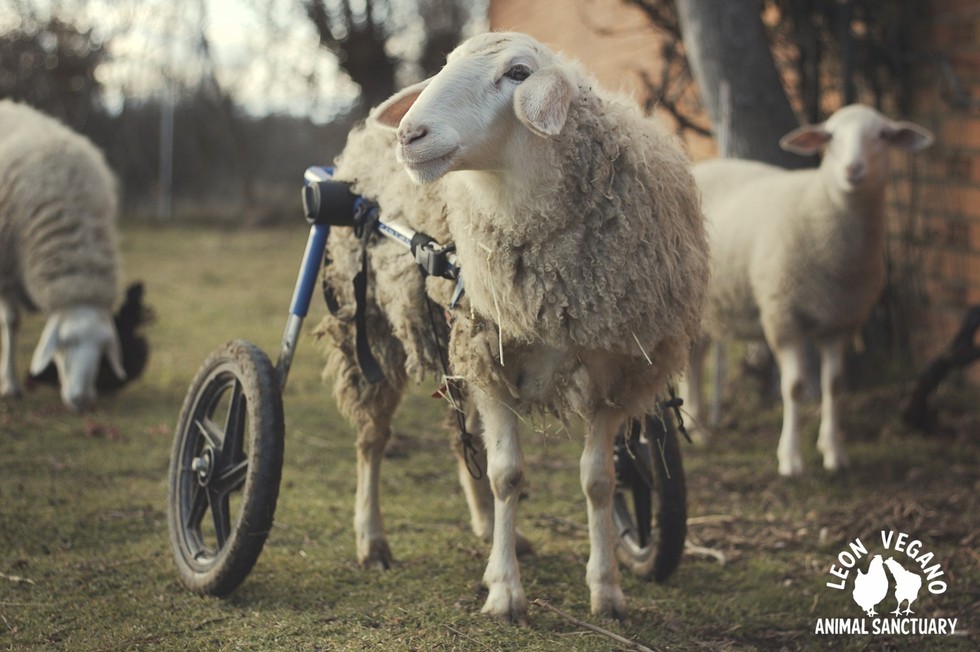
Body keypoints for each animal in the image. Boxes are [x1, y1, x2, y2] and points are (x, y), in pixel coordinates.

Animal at [0, 99, 128, 412]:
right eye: (67, 342)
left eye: (103, 347)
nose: (82, 401)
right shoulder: (6, 267)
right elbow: (11, 322)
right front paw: (11, 384)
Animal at [320, 31, 709, 623]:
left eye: (519, 73)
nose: (409, 134)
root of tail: (364, 136)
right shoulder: (491, 355)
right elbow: (508, 474)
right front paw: (505, 592)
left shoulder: (614, 374)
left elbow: (599, 481)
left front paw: (607, 589)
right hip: (370, 326)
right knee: (372, 438)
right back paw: (373, 539)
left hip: (447, 337)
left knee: (462, 436)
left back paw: (487, 528)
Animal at [685, 104, 934, 476]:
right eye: (830, 137)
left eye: (883, 135)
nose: (852, 169)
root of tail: (702, 165)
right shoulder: (783, 316)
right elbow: (795, 387)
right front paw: (790, 459)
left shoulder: (842, 322)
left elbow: (835, 385)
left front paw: (834, 452)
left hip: (708, 310)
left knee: (695, 358)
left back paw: (697, 427)